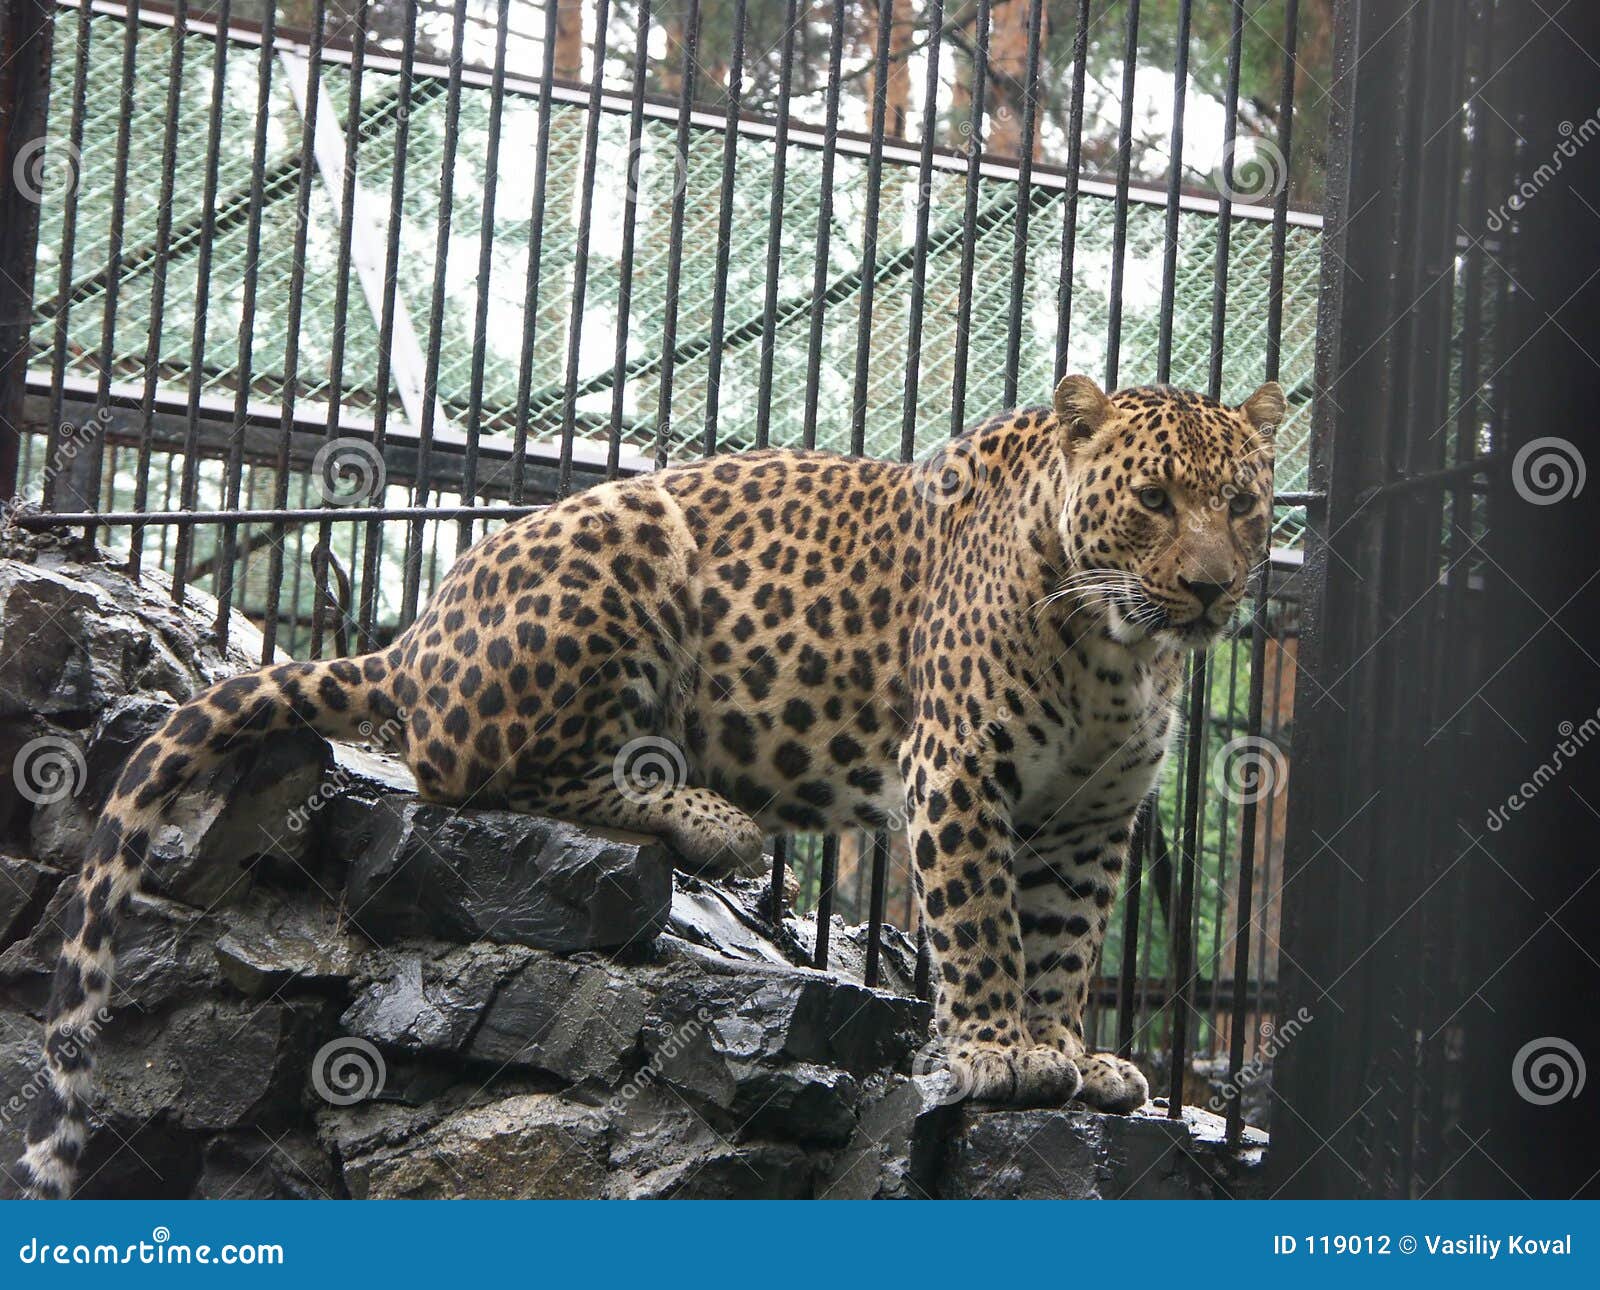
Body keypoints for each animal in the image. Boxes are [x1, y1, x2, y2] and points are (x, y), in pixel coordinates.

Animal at [19, 373, 1282, 1198]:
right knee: (476, 766)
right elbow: (981, 927)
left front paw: (1070, 1055)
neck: (1120, 649)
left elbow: (1064, 943)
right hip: (624, 549)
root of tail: (419, 635)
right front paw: (992, 1051)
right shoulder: (959, 771)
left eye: (1243, 505)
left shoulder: (1090, 817)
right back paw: (707, 817)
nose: (1212, 588)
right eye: (1155, 500)